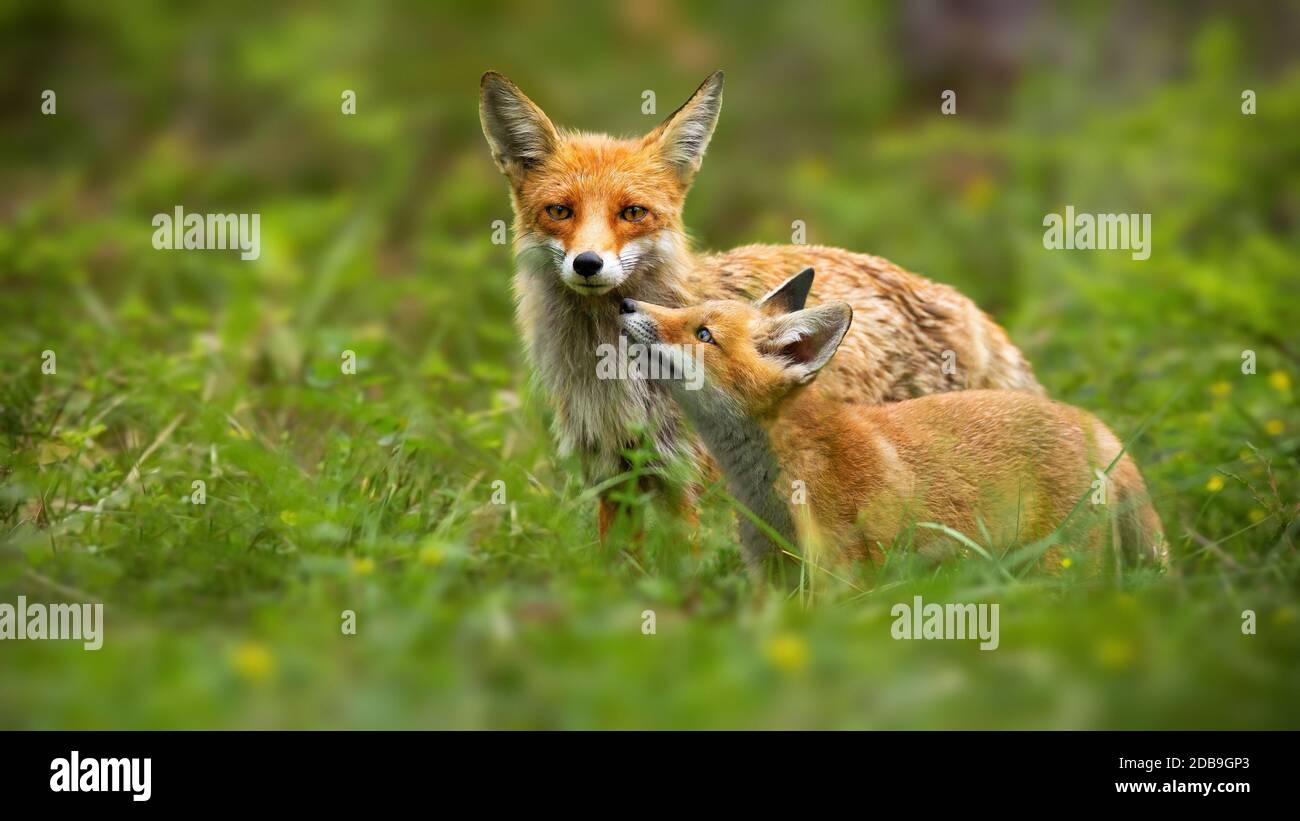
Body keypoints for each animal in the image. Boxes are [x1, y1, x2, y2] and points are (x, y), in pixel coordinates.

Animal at [479, 70, 1043, 539]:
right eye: (559, 211)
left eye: (633, 213)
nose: (588, 264)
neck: (614, 378)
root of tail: (968, 308)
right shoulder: (613, 475)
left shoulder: (692, 480)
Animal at [617, 271, 1166, 584]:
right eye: (689, 310)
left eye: (703, 334)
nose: (625, 304)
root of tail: (1096, 426)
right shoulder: (772, 575)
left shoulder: (841, 574)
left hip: (1061, 569)